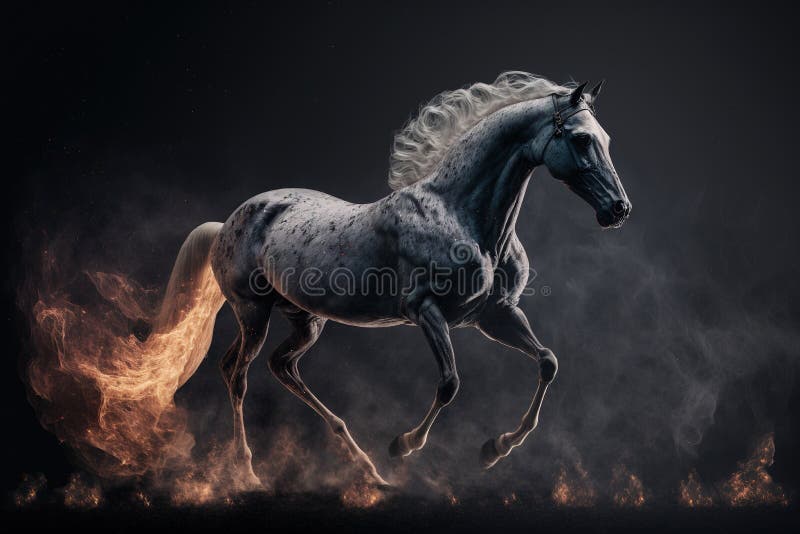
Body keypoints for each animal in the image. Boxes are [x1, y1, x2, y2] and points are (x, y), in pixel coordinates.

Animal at [148, 72, 631, 488]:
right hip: (253, 311)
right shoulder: (426, 312)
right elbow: (449, 383)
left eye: (607, 139)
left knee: (280, 366)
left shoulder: (496, 315)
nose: (619, 209)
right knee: (237, 374)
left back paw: (367, 468)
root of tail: (226, 222)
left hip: (306, 319)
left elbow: (548, 362)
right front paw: (404, 445)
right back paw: (248, 472)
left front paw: (494, 449)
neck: (461, 215)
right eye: (582, 139)